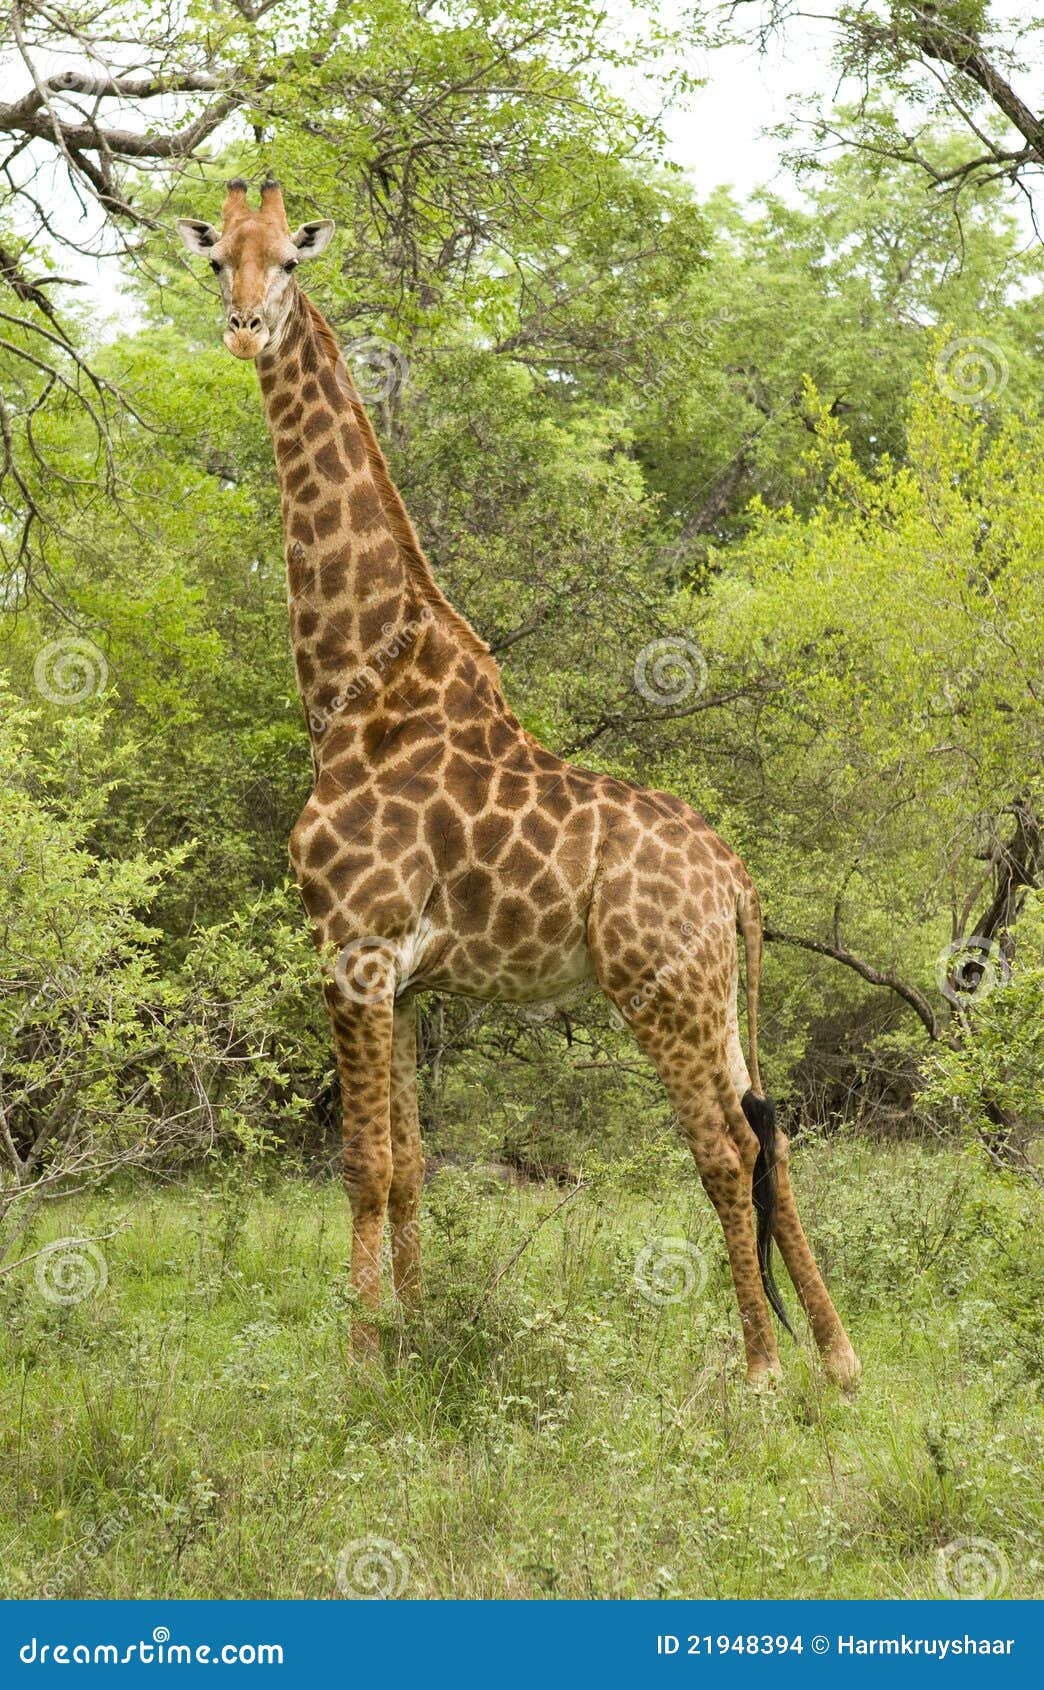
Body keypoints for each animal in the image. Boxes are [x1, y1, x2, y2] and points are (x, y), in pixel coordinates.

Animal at [177, 179, 860, 1387]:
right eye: (220, 263)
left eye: (291, 264)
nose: (246, 329)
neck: (354, 691)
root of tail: (737, 879)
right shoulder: (402, 977)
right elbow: (408, 1165)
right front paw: (413, 1338)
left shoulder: (352, 948)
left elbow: (359, 1165)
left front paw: (360, 1364)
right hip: (715, 996)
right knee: (774, 1137)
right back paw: (837, 1363)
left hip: (659, 990)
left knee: (727, 1148)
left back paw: (759, 1373)